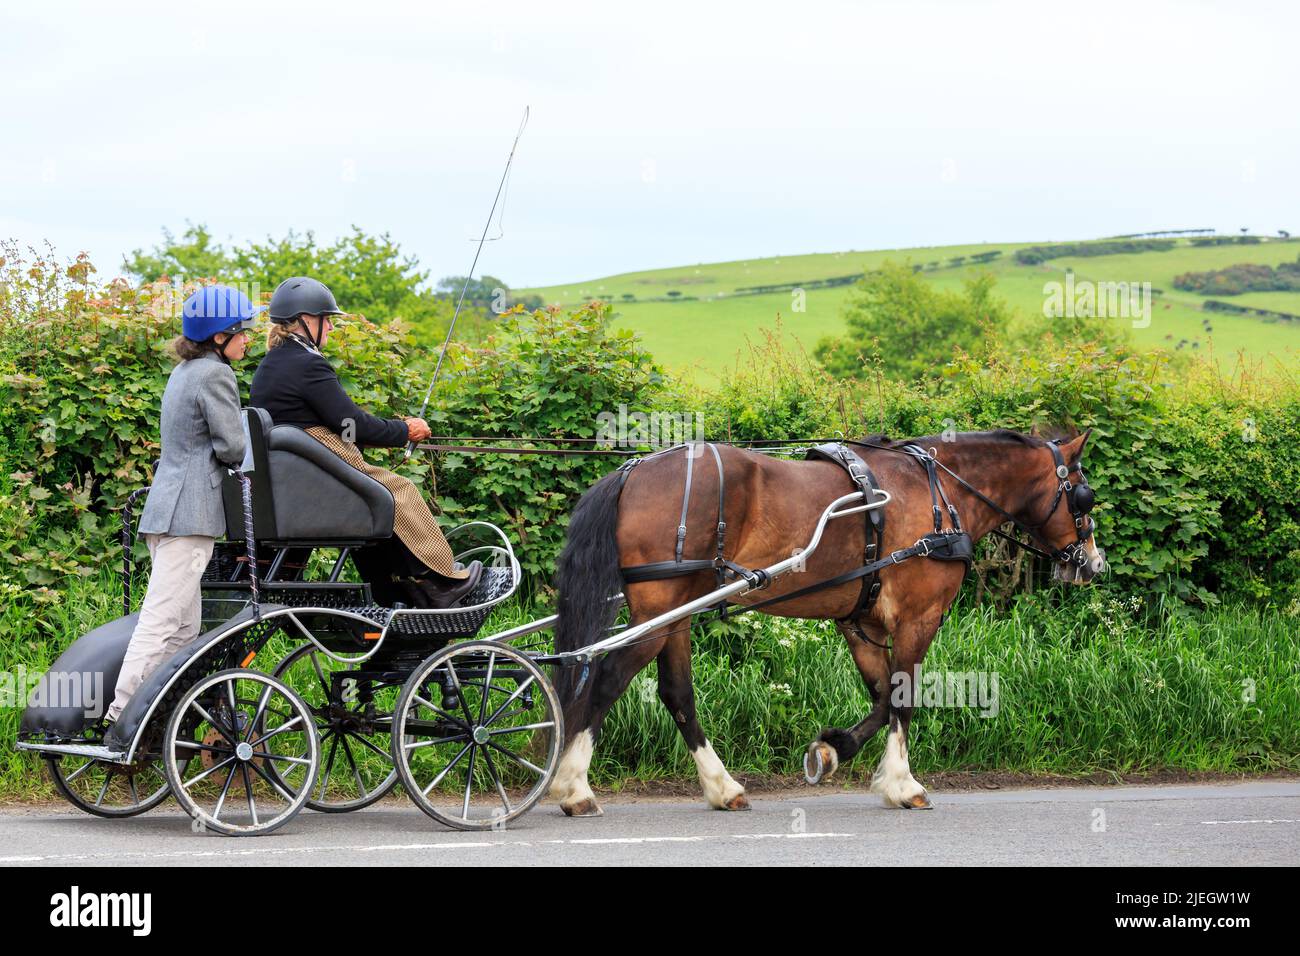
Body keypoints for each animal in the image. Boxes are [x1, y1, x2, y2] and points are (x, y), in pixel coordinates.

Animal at [547, 429, 1105, 816]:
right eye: (1084, 496)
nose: (1094, 564)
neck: (942, 491)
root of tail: (633, 470)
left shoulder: (861, 623)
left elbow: (882, 698)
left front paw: (833, 749)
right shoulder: (918, 617)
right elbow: (904, 697)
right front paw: (903, 784)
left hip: (675, 612)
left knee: (677, 694)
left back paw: (723, 788)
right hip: (658, 610)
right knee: (608, 679)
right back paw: (573, 787)